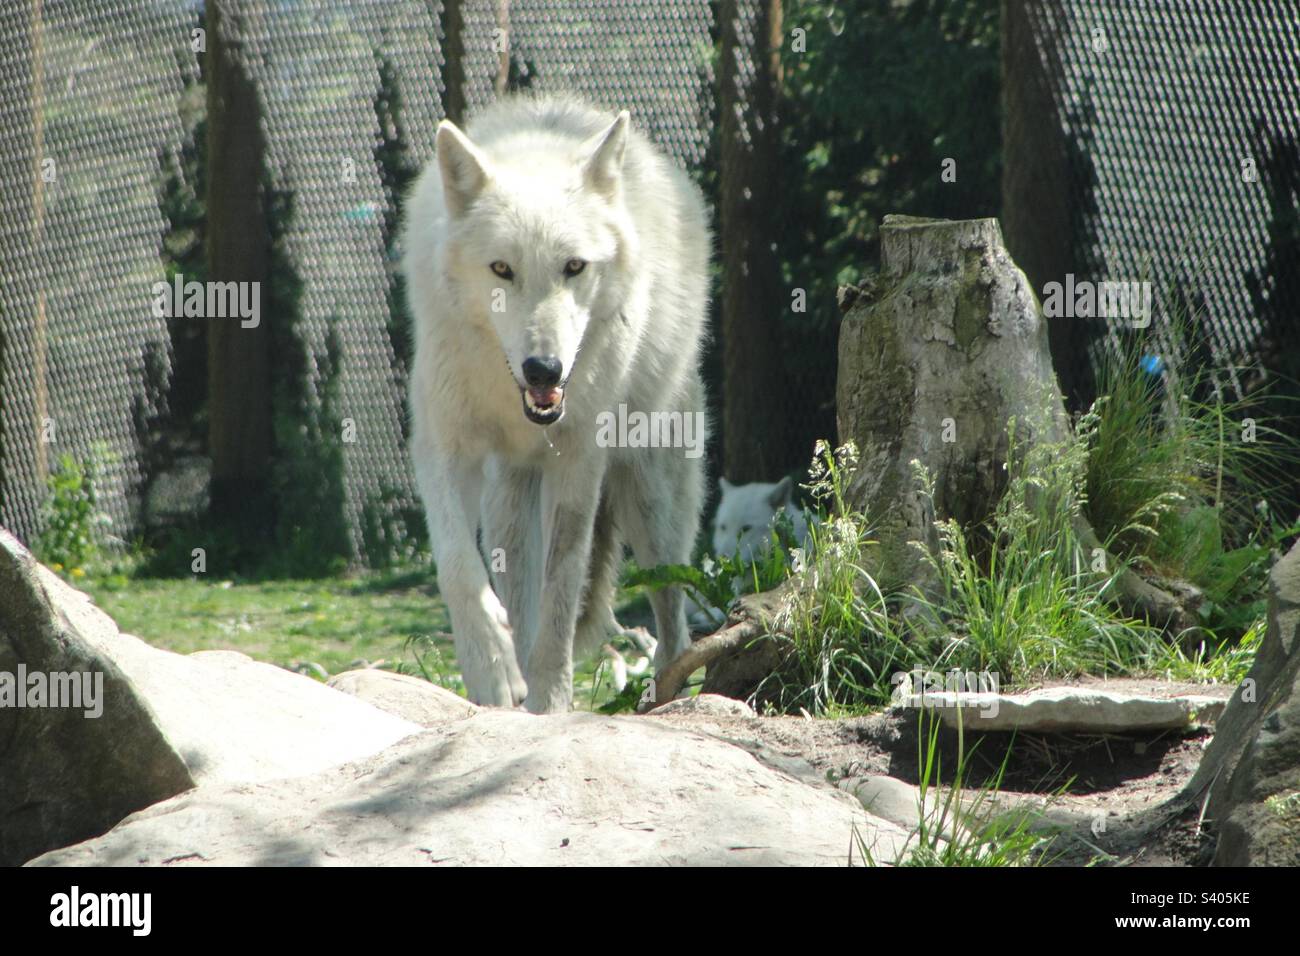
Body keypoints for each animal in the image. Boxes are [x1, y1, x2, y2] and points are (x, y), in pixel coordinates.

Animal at [402, 94, 711, 713]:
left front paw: (550, 702)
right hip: (507, 500)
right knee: (515, 586)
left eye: (574, 267)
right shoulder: (443, 446)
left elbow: (563, 593)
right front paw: (493, 672)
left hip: (652, 502)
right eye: (502, 269)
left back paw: (662, 696)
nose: (543, 369)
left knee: (673, 620)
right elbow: (457, 566)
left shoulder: (579, 461)